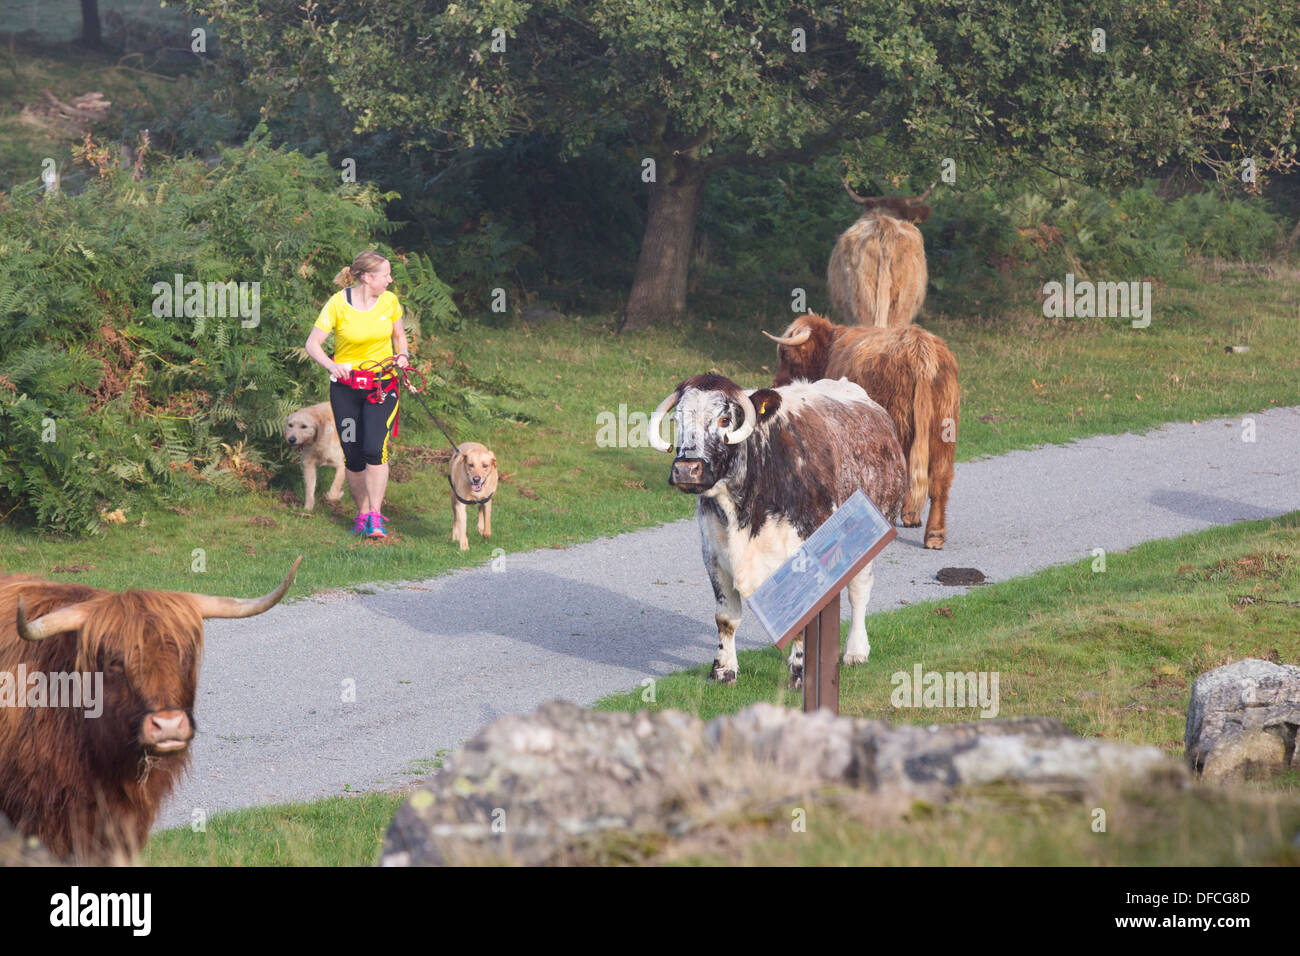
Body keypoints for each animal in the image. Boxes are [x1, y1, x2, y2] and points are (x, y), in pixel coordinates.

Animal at [648, 374, 905, 687]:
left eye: (724, 419)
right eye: (677, 420)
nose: (686, 469)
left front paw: (802, 673)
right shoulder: (713, 555)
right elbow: (726, 617)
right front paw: (723, 670)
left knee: (858, 592)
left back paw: (855, 651)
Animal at [765, 312, 959, 550]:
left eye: (785, 355)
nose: (776, 383)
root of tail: (919, 344)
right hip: (944, 429)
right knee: (940, 477)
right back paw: (934, 534)